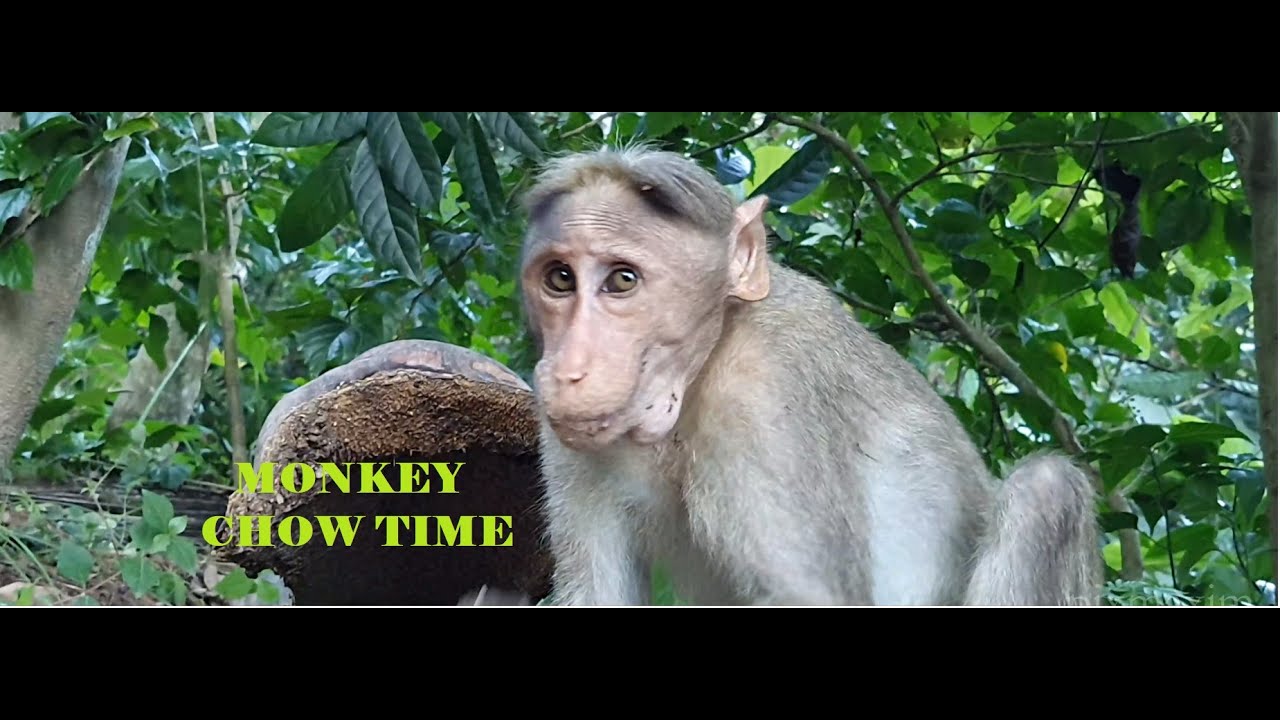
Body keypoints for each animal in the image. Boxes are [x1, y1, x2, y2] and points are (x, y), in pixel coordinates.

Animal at [515, 145, 1104, 606]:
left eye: (622, 280)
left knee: (1048, 489)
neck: (705, 363)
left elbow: (809, 595)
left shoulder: (763, 393)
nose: (568, 369)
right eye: (560, 279)